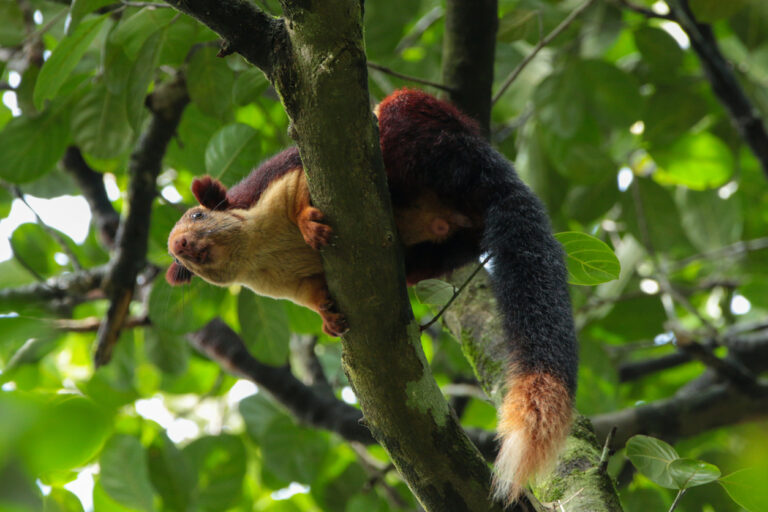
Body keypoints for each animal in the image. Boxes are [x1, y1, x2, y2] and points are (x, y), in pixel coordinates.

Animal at [166, 88, 577, 503]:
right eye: (177, 260)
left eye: (197, 216)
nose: (178, 245)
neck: (255, 251)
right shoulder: (284, 284)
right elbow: (312, 293)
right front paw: (327, 317)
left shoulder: (278, 180)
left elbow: (300, 189)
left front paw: (306, 223)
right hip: (450, 241)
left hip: (416, 126)